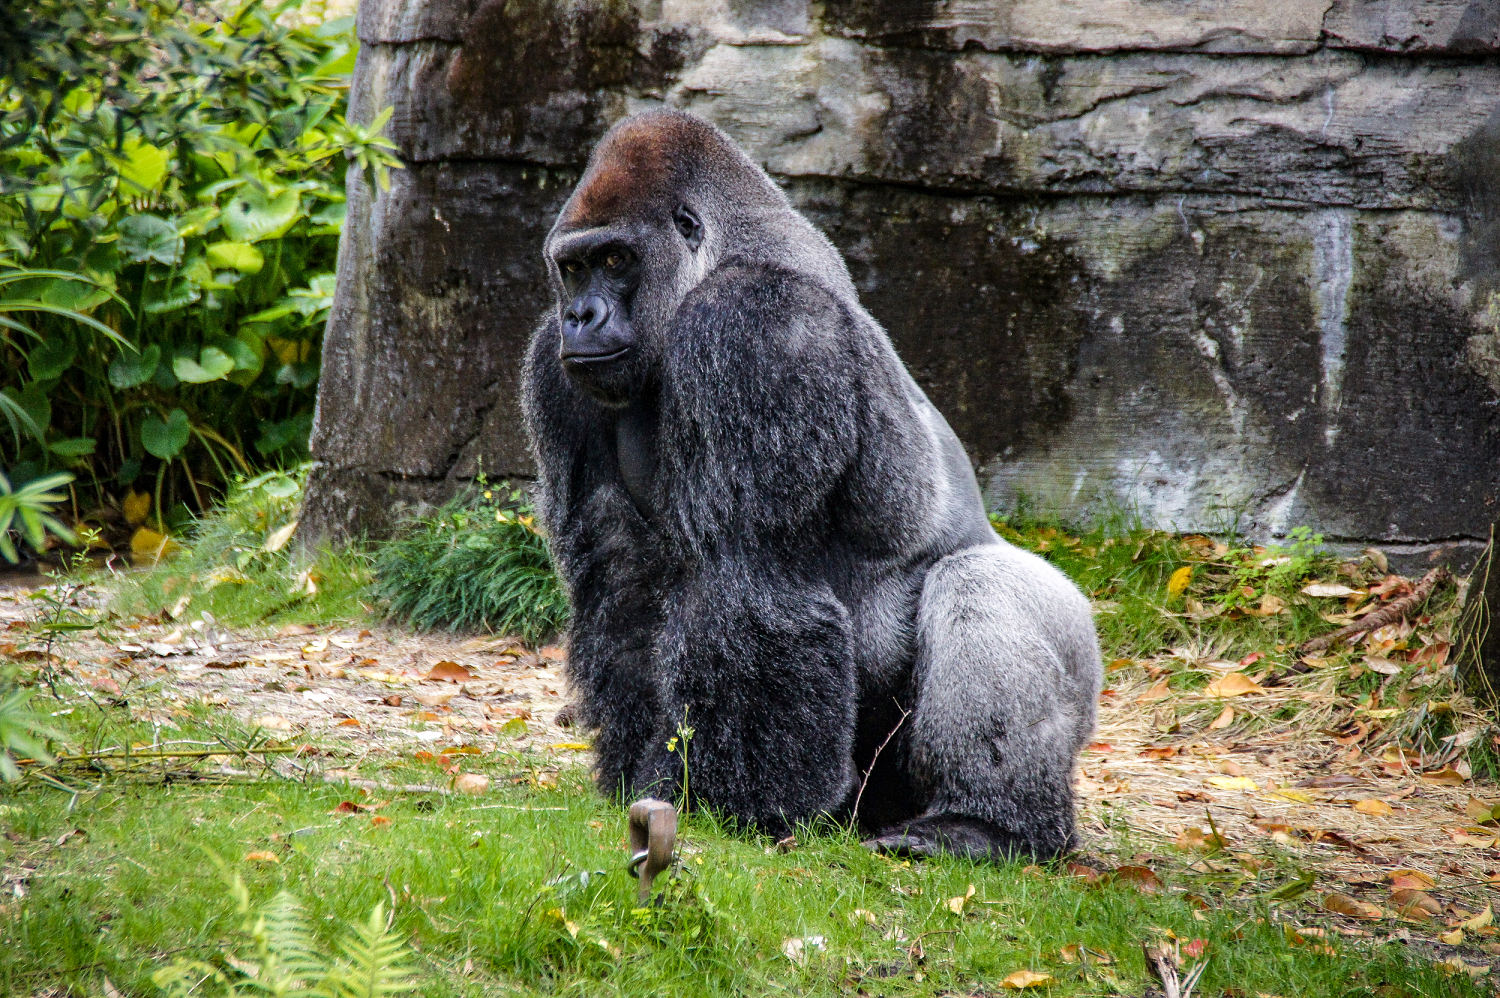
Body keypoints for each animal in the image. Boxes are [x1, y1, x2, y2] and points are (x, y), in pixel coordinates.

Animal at [521, 108, 1102, 860]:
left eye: (616, 260)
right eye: (573, 268)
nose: (580, 316)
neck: (712, 259)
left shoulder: (754, 323)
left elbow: (751, 581)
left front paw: (730, 803)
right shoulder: (555, 368)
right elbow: (620, 584)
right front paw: (639, 776)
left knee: (982, 581)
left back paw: (991, 823)